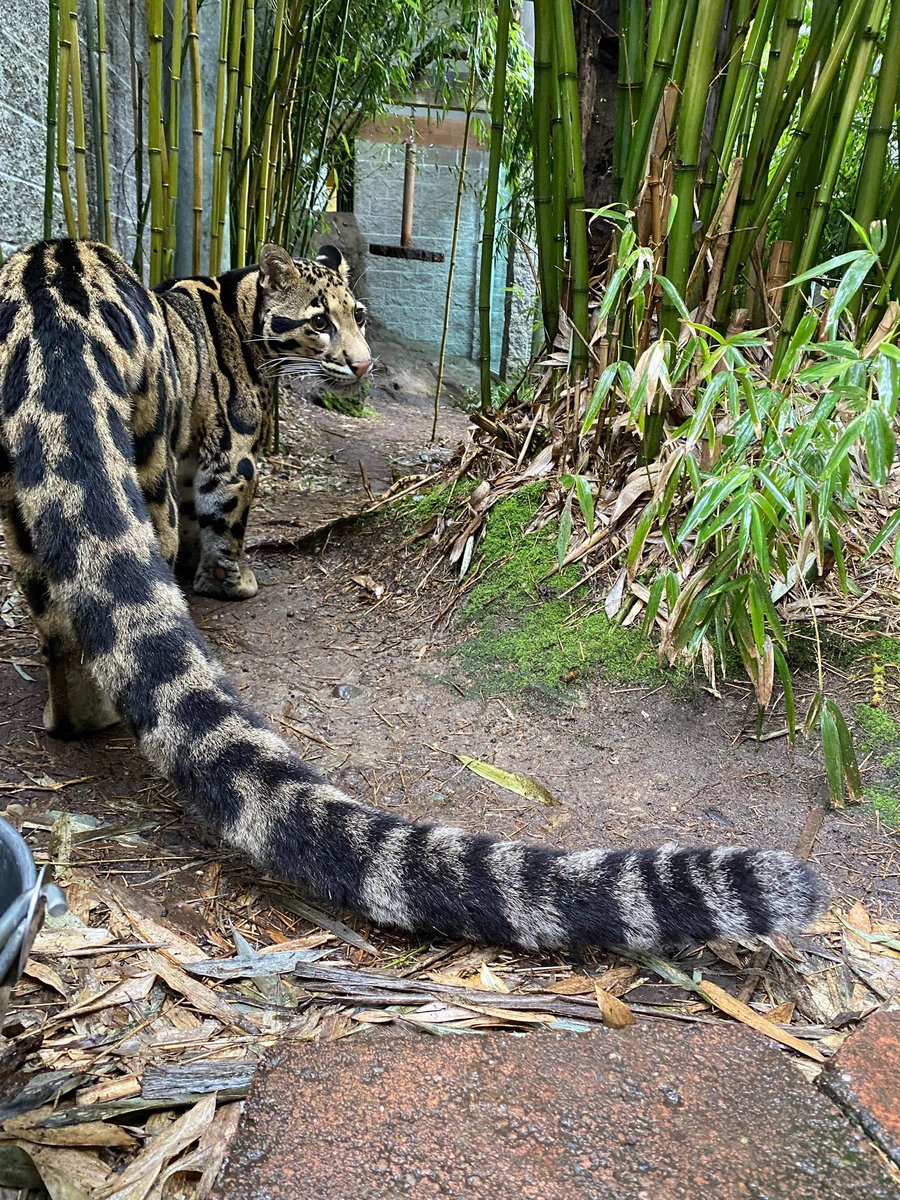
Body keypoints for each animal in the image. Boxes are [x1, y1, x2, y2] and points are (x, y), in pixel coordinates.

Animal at [0, 238, 824, 953]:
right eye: (319, 320)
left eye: (359, 315)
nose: (362, 363)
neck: (237, 309)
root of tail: (55, 325)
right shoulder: (228, 458)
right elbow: (225, 530)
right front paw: (233, 583)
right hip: (139, 459)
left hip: (28, 499)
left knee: (62, 613)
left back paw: (70, 717)